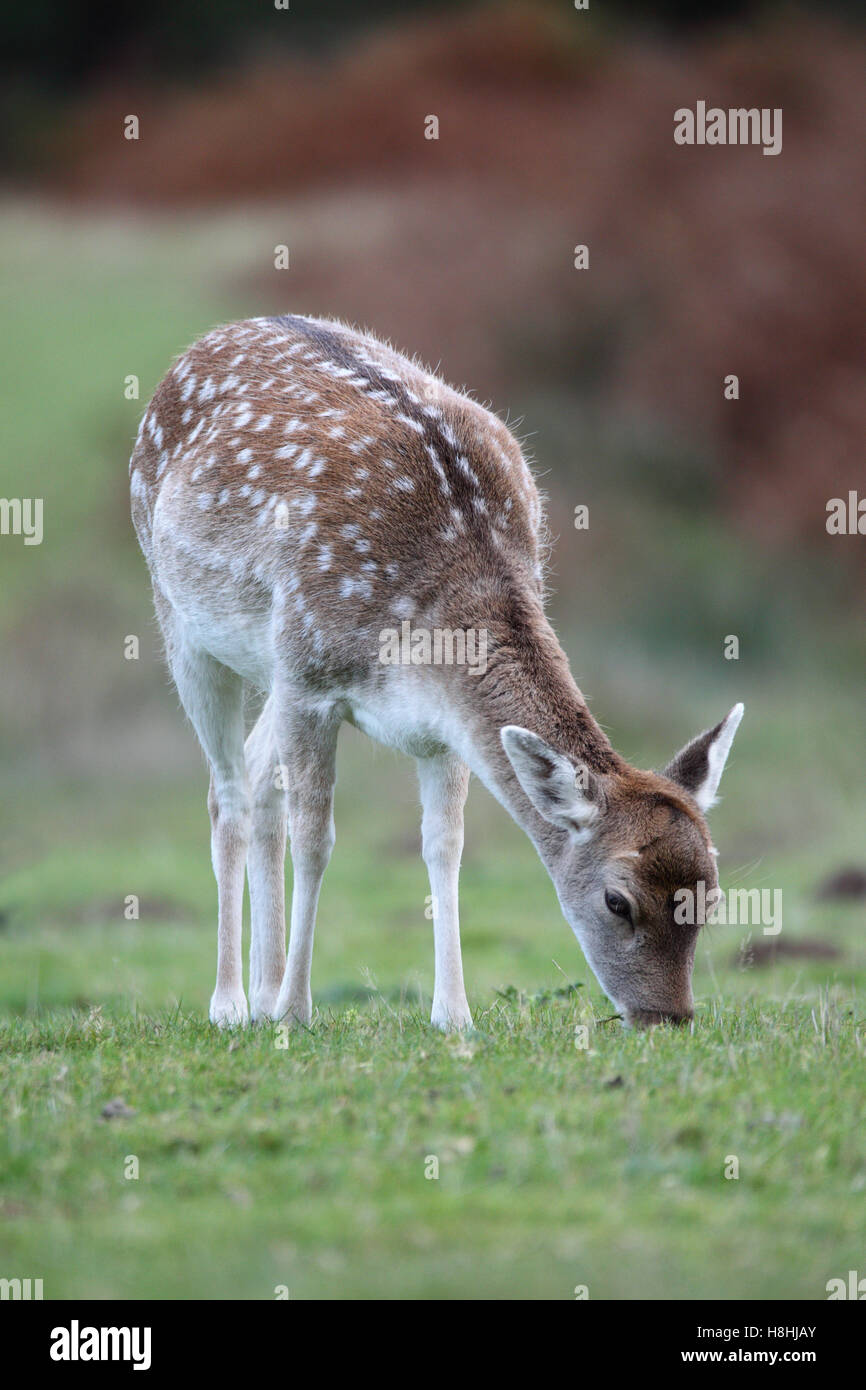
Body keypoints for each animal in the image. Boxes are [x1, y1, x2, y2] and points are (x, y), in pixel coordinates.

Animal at [129, 313, 743, 1032]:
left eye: (712, 894)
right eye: (617, 900)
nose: (667, 1017)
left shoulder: (446, 716)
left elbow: (443, 845)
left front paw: (453, 1015)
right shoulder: (310, 675)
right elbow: (318, 839)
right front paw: (296, 1013)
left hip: (271, 668)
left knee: (257, 780)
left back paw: (262, 987)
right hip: (183, 618)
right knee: (226, 790)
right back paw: (233, 1003)